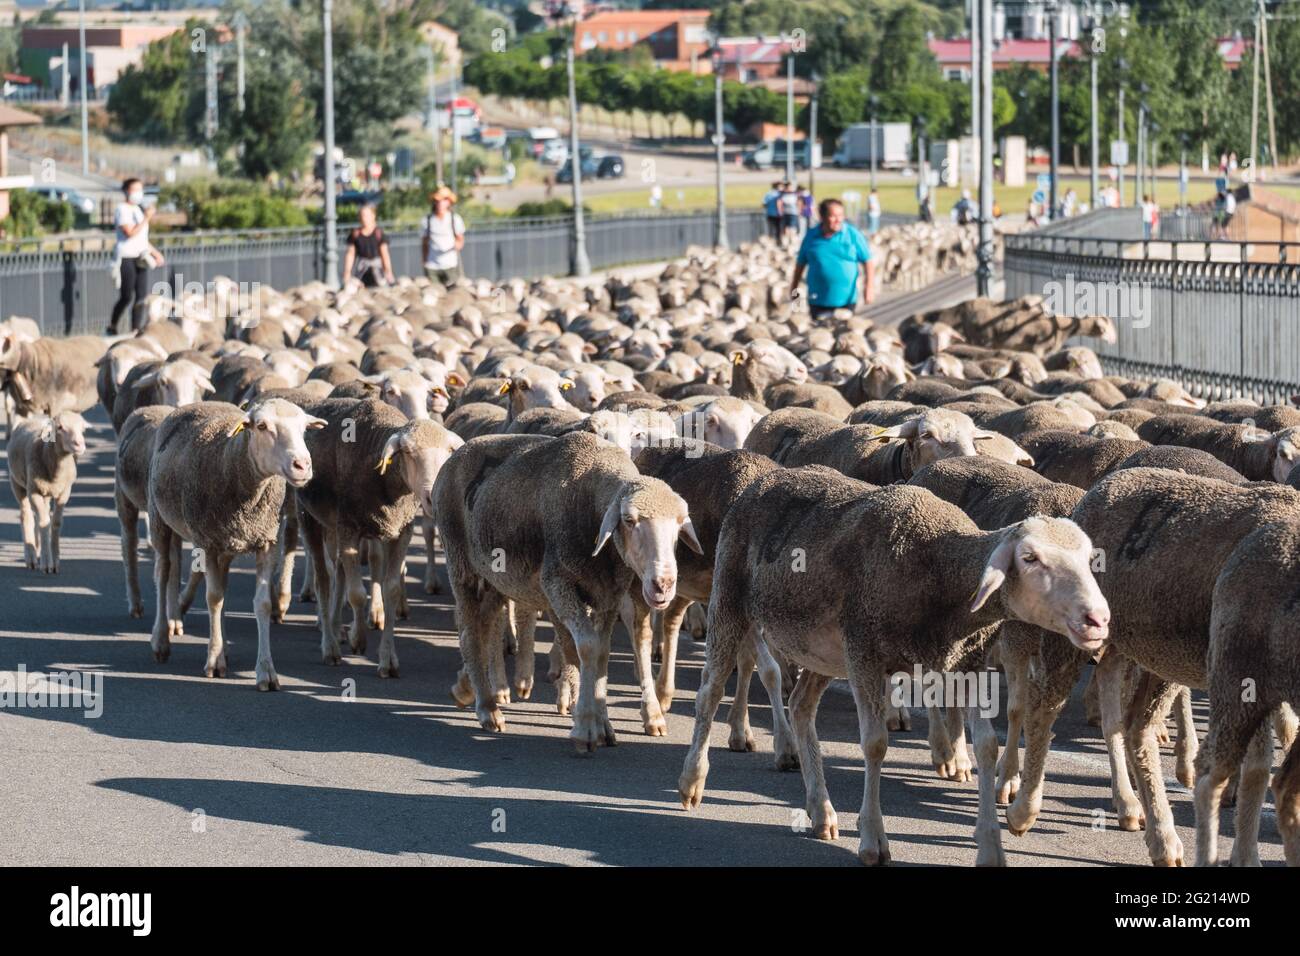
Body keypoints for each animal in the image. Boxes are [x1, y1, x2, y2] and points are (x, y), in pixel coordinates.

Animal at [6, 411, 88, 572]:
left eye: (82, 429)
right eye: (60, 427)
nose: (79, 445)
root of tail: (34, 417)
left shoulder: (64, 492)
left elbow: (55, 522)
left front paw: (55, 560)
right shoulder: (34, 491)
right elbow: (45, 522)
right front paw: (46, 563)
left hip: (45, 493)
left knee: (39, 516)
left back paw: (37, 547)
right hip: (18, 484)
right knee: (26, 516)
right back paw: (31, 557)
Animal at [147, 399, 327, 689]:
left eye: (304, 429)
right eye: (261, 426)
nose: (302, 465)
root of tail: (197, 403)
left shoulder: (267, 541)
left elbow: (261, 604)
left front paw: (265, 671)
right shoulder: (208, 542)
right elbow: (213, 598)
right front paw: (213, 661)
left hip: (227, 545)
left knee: (221, 584)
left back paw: (223, 647)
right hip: (160, 518)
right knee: (163, 573)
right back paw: (161, 641)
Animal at [297, 398, 462, 676]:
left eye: (448, 452)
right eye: (408, 452)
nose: (431, 498)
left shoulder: (401, 531)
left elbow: (391, 591)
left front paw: (387, 660)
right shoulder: (349, 529)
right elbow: (356, 594)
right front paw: (358, 639)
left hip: (336, 526)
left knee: (338, 571)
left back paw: (337, 627)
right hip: (309, 517)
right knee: (323, 580)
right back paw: (330, 646)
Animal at [433, 431, 704, 747]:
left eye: (679, 524)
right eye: (629, 520)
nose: (663, 584)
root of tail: (457, 453)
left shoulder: (608, 595)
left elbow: (601, 653)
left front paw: (602, 723)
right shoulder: (558, 584)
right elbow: (586, 647)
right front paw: (586, 726)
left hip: (493, 578)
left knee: (484, 627)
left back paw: (470, 691)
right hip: (461, 564)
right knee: (469, 633)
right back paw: (487, 709)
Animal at [678, 469, 1109, 866]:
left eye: (1088, 559)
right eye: (1030, 558)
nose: (1098, 619)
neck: (939, 572)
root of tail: (767, 478)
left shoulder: (965, 663)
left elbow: (987, 745)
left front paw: (990, 847)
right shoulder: (866, 654)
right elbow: (875, 744)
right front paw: (873, 840)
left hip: (825, 651)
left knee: (800, 707)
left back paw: (821, 811)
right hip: (731, 599)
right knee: (710, 691)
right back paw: (691, 782)